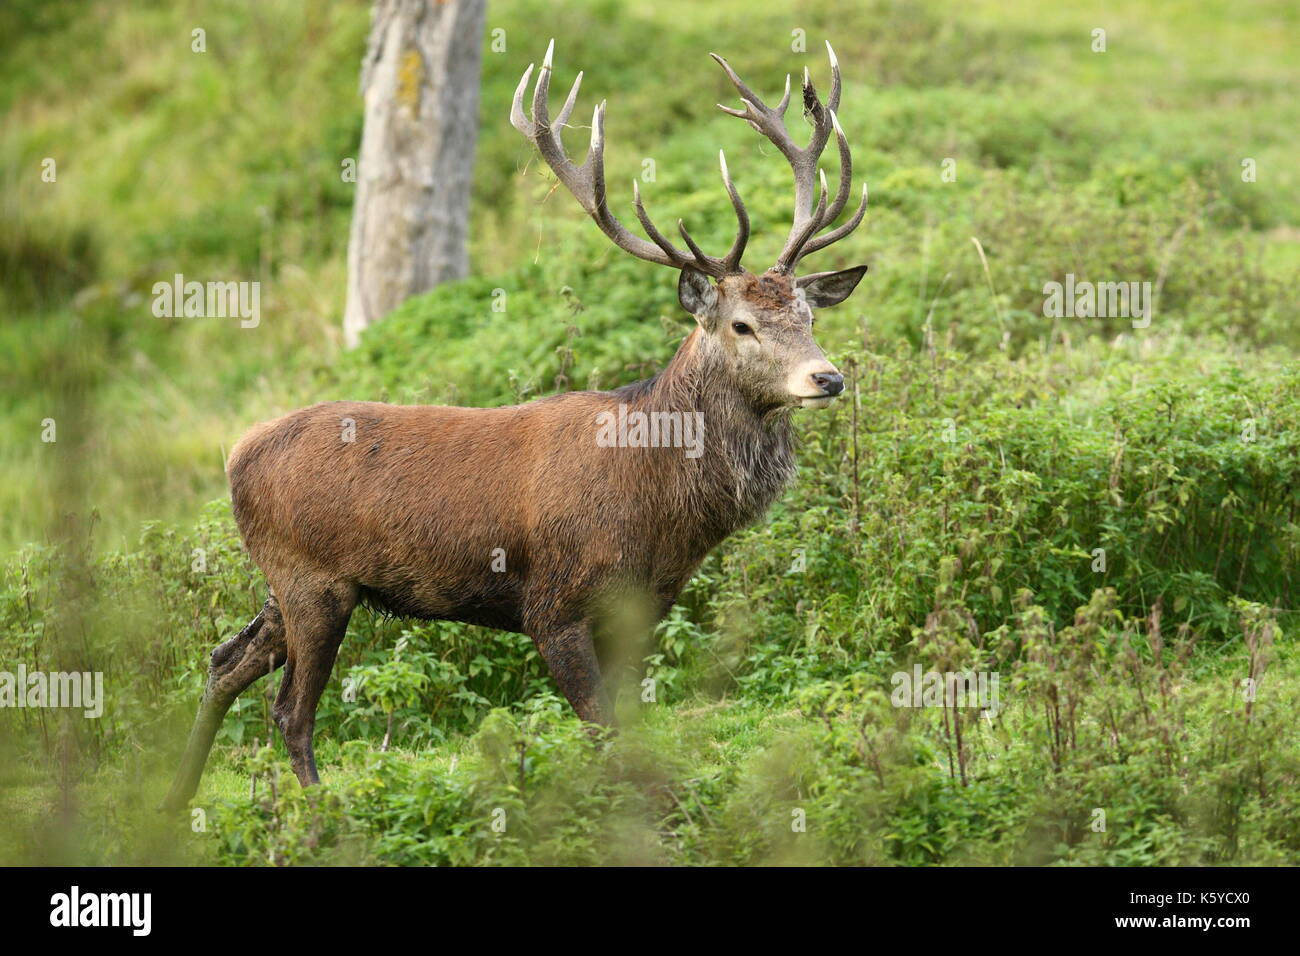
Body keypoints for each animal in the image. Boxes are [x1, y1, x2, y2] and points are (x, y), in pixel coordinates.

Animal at [160, 40, 868, 811]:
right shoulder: (553, 602)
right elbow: (602, 726)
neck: (659, 505)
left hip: (281, 582)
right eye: (741, 324)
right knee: (289, 709)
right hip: (310, 578)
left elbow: (631, 724)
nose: (827, 377)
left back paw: (172, 802)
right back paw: (321, 809)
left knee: (224, 660)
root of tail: (237, 455)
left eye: (807, 314)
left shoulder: (648, 606)